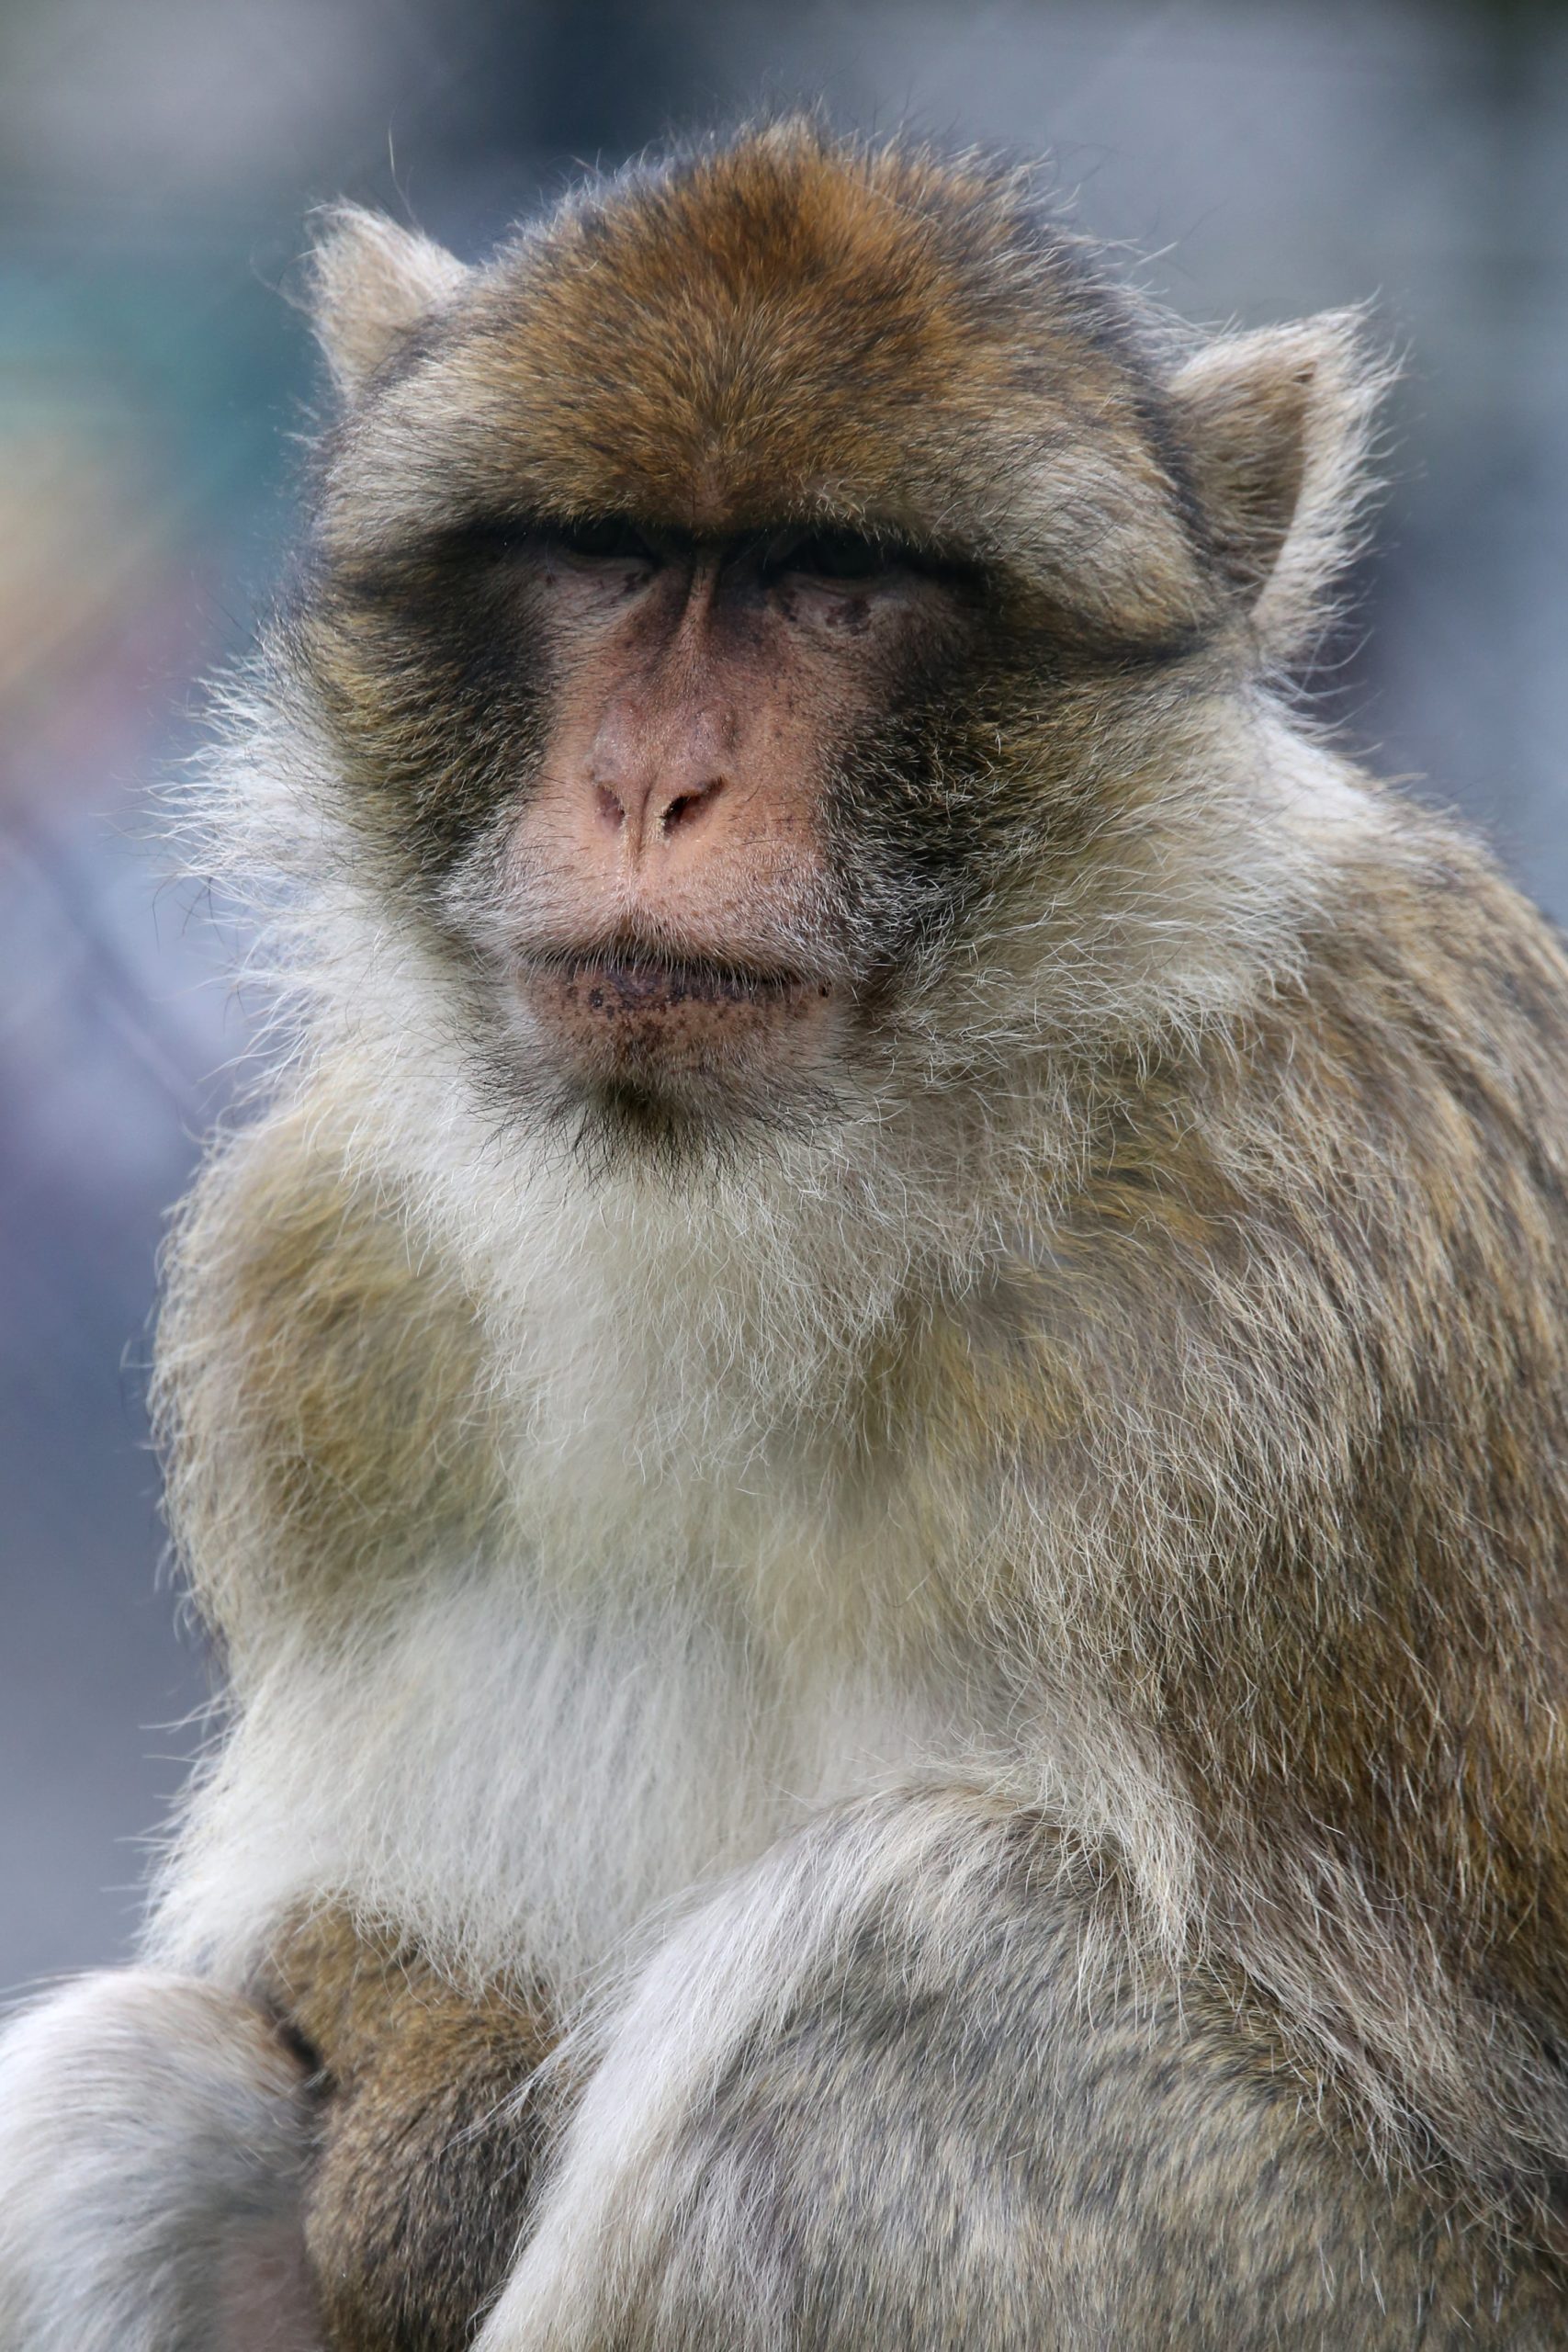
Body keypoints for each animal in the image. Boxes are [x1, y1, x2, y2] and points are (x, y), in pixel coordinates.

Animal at [6, 112, 1568, 2348]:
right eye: (601, 557)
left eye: (839, 587)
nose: (654, 783)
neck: (801, 1210)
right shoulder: (322, 1301)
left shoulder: (1303, 1269)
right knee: (130, 2095)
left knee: (902, 1982)